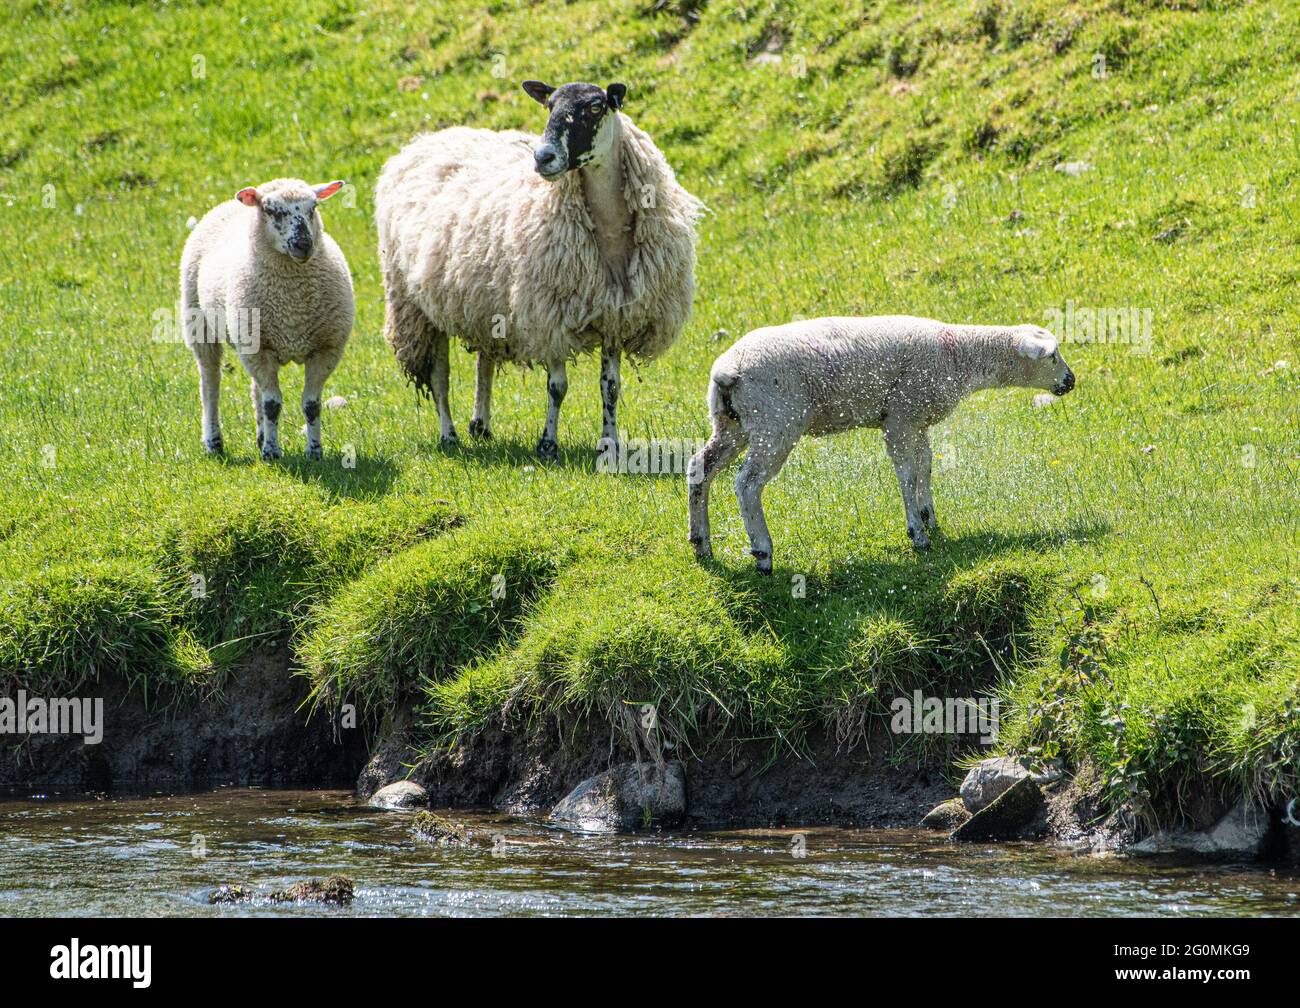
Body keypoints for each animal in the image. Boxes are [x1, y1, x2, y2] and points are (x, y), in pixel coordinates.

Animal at [181, 177, 353, 461]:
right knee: (210, 384)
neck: (292, 306)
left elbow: (312, 405)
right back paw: (214, 442)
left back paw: (261, 436)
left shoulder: (325, 349)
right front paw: (272, 453)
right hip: (200, 325)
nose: (303, 245)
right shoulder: (260, 350)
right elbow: (273, 404)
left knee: (256, 390)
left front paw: (314, 452)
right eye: (271, 210)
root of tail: (228, 204)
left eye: (313, 207)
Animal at [374, 79, 703, 460]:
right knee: (440, 375)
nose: (543, 157)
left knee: (484, 360)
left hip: (485, 300)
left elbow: (610, 387)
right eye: (549, 106)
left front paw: (610, 446)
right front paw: (547, 445)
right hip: (417, 305)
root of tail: (425, 140)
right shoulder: (550, 316)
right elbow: (557, 387)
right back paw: (449, 434)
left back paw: (481, 425)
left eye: (595, 107)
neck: (608, 232)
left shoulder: (615, 319)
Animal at [686, 315, 1077, 574]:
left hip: (733, 424)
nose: (1071, 381)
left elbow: (925, 466)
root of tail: (727, 370)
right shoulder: (901, 417)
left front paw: (929, 516)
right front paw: (918, 534)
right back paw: (762, 552)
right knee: (747, 484)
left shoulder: (917, 419)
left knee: (699, 467)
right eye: (1052, 356)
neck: (958, 357)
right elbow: (907, 474)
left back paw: (701, 543)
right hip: (775, 421)